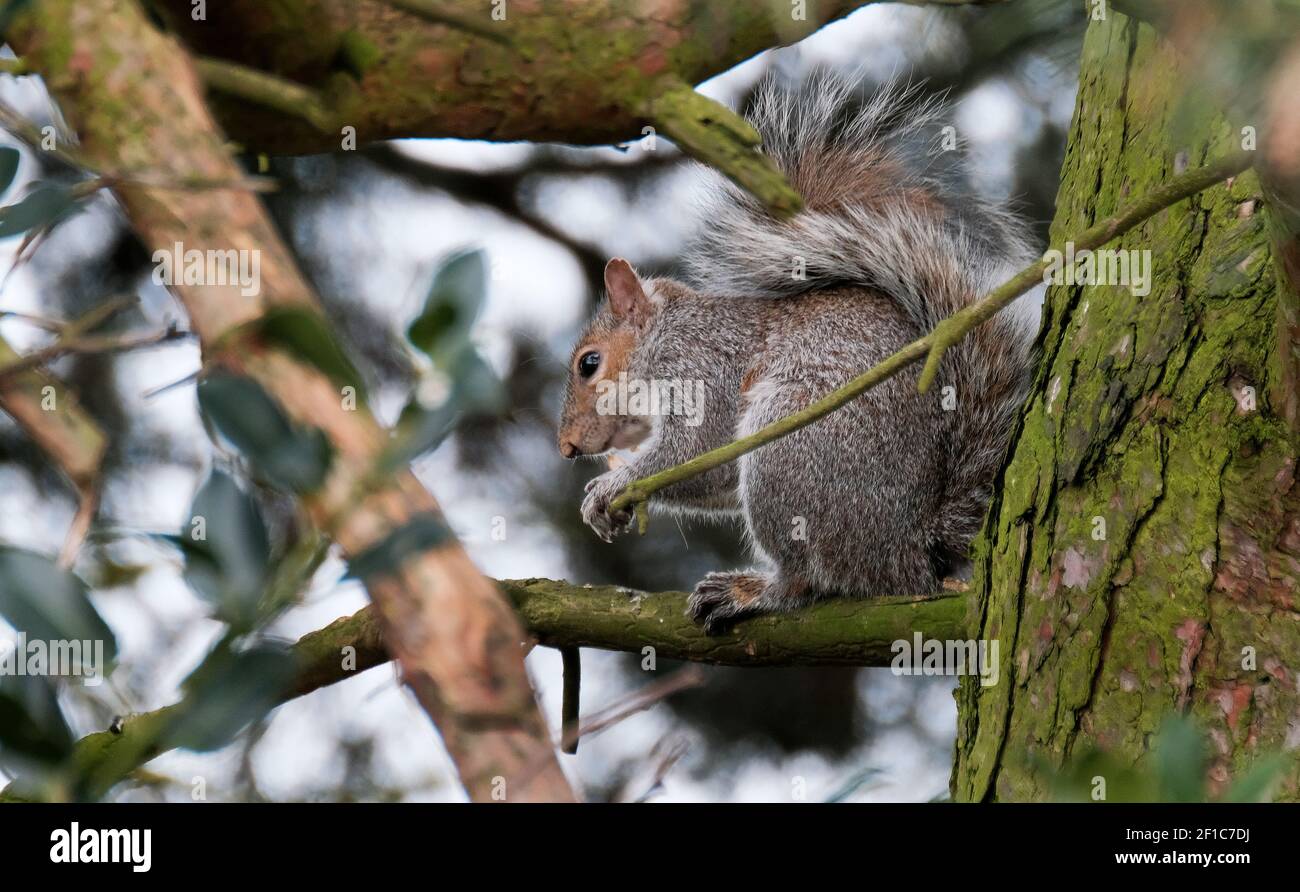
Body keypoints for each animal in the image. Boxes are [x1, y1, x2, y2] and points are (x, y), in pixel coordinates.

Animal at [557, 73, 1042, 634]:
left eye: (589, 364)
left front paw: (612, 485)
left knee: (809, 580)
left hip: (788, 449)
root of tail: (911, 554)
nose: (567, 447)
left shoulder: (704, 368)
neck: (665, 336)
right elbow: (717, 481)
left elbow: (699, 453)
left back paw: (753, 592)